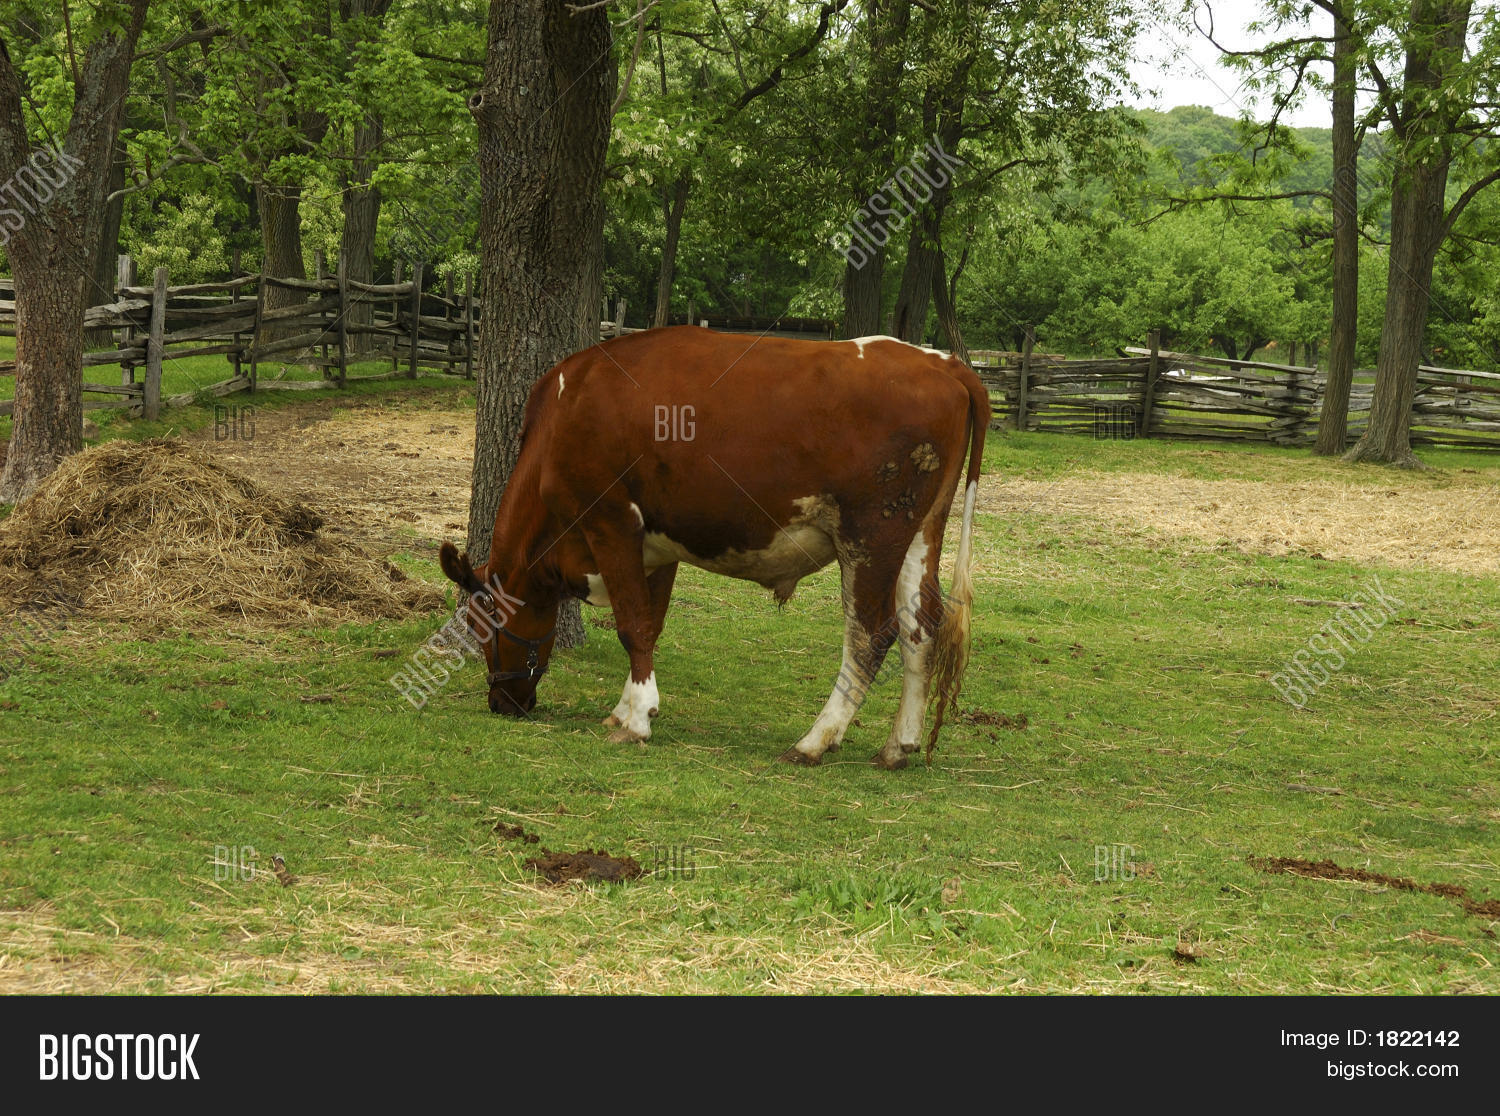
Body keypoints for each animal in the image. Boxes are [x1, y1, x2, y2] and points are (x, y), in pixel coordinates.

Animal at [438, 326, 989, 768]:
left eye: (480, 626)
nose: (501, 703)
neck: (565, 411)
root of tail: (940, 361)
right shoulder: (656, 545)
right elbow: (650, 624)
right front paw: (626, 708)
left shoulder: (611, 521)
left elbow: (632, 625)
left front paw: (637, 721)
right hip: (919, 533)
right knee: (922, 627)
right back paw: (898, 746)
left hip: (871, 532)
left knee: (870, 635)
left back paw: (814, 741)